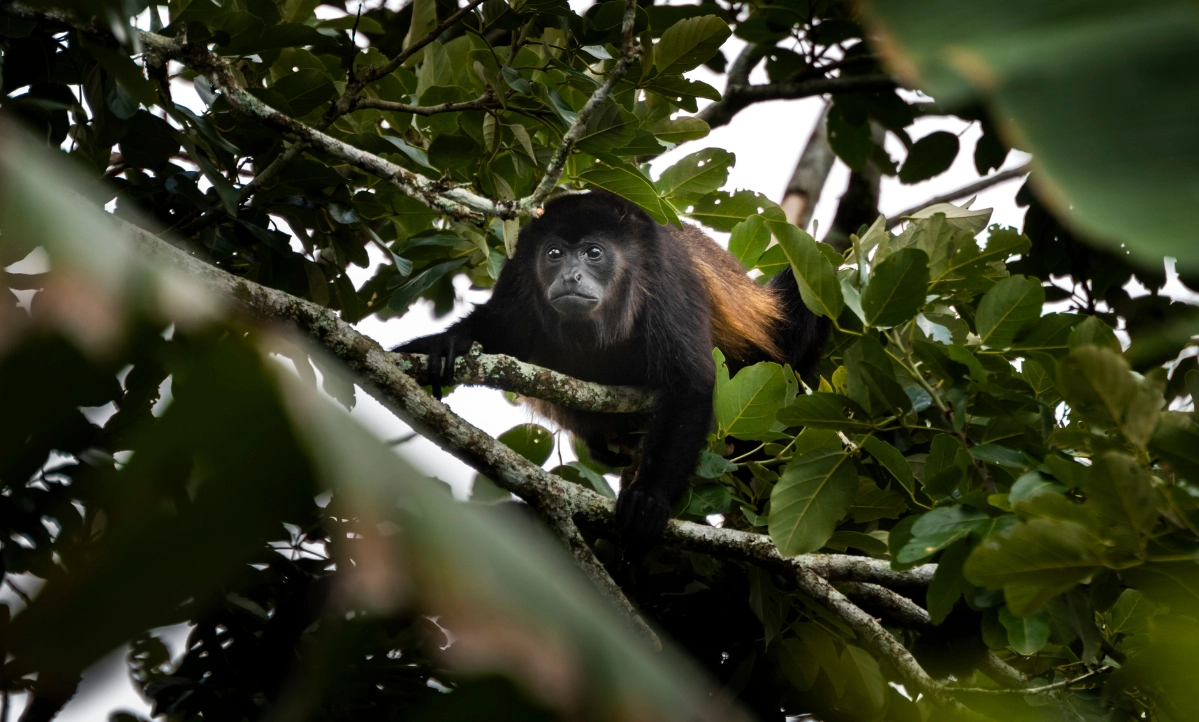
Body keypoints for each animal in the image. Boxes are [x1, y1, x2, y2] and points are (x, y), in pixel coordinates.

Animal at [395, 191, 830, 548]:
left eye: (593, 252)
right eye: (554, 254)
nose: (570, 276)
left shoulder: (667, 277)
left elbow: (691, 381)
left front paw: (650, 497)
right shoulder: (518, 273)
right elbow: (501, 328)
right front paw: (447, 341)